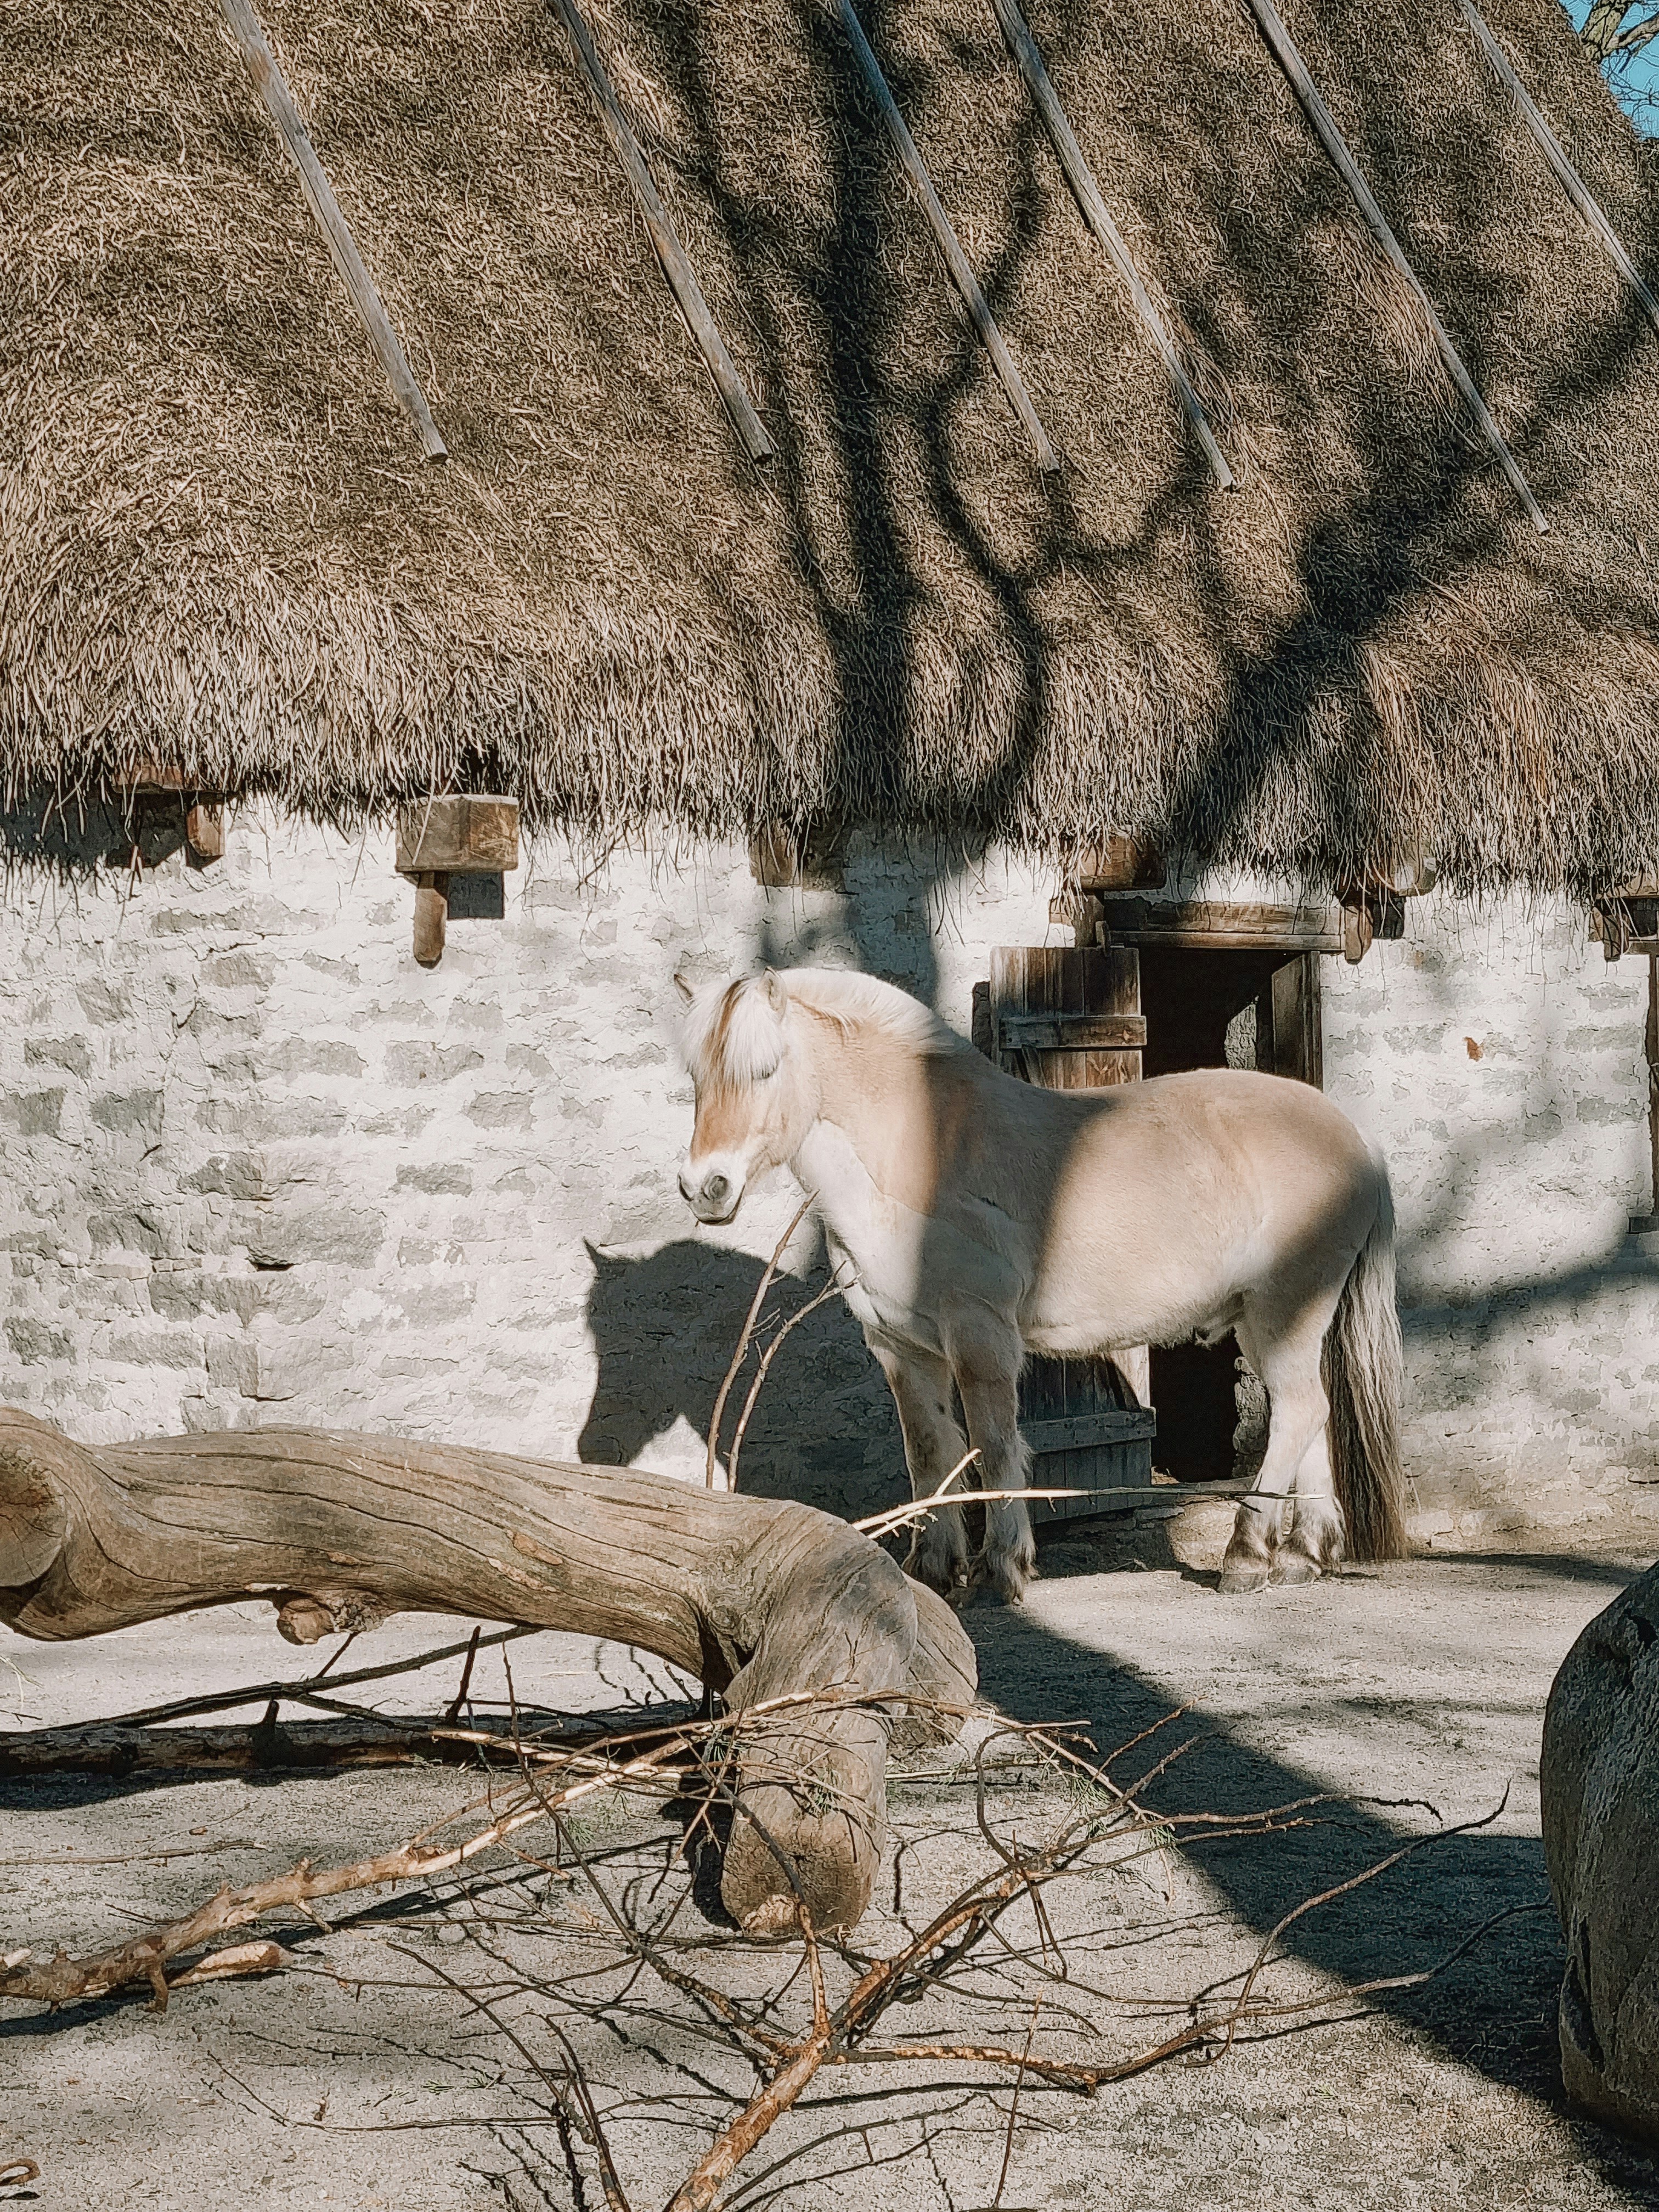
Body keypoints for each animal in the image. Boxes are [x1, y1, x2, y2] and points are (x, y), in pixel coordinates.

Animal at [675, 966, 1407, 1602]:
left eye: (765, 1070)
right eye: (696, 1077)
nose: (705, 1188)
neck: (922, 1155)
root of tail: (1356, 1139)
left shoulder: (980, 1336)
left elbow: (995, 1446)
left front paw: (1002, 1568)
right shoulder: (898, 1346)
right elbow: (928, 1452)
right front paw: (932, 1571)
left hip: (1283, 1309)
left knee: (1299, 1410)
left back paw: (1247, 1556)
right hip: (1272, 1321)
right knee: (1310, 1413)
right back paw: (1302, 1556)